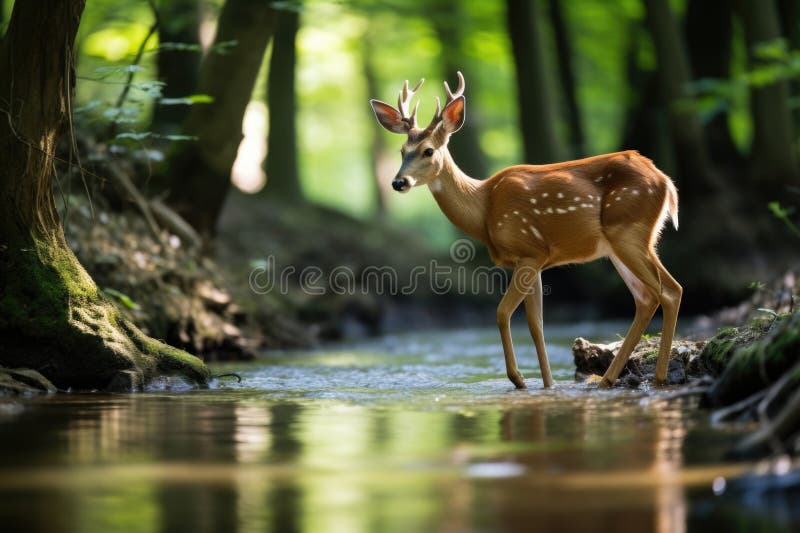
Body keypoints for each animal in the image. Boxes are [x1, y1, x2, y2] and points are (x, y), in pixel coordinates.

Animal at [369, 72, 682, 390]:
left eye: (428, 150)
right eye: (402, 151)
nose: (398, 182)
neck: (484, 210)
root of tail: (667, 182)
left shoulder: (529, 251)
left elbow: (502, 312)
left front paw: (518, 379)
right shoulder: (536, 259)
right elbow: (536, 324)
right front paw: (548, 384)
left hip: (630, 232)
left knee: (669, 291)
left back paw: (657, 377)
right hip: (620, 245)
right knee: (646, 298)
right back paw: (607, 379)